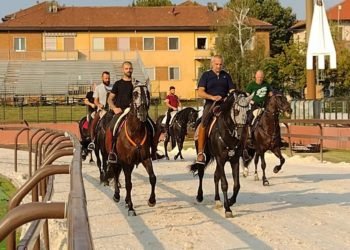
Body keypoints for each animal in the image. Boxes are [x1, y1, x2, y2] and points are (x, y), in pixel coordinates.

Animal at [106, 81, 156, 216]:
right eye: (135, 94)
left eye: (147, 93)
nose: (142, 113)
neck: (135, 131)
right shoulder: (126, 162)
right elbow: (128, 184)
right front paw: (131, 208)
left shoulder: (145, 158)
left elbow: (152, 178)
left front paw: (151, 201)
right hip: (116, 160)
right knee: (116, 174)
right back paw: (117, 196)